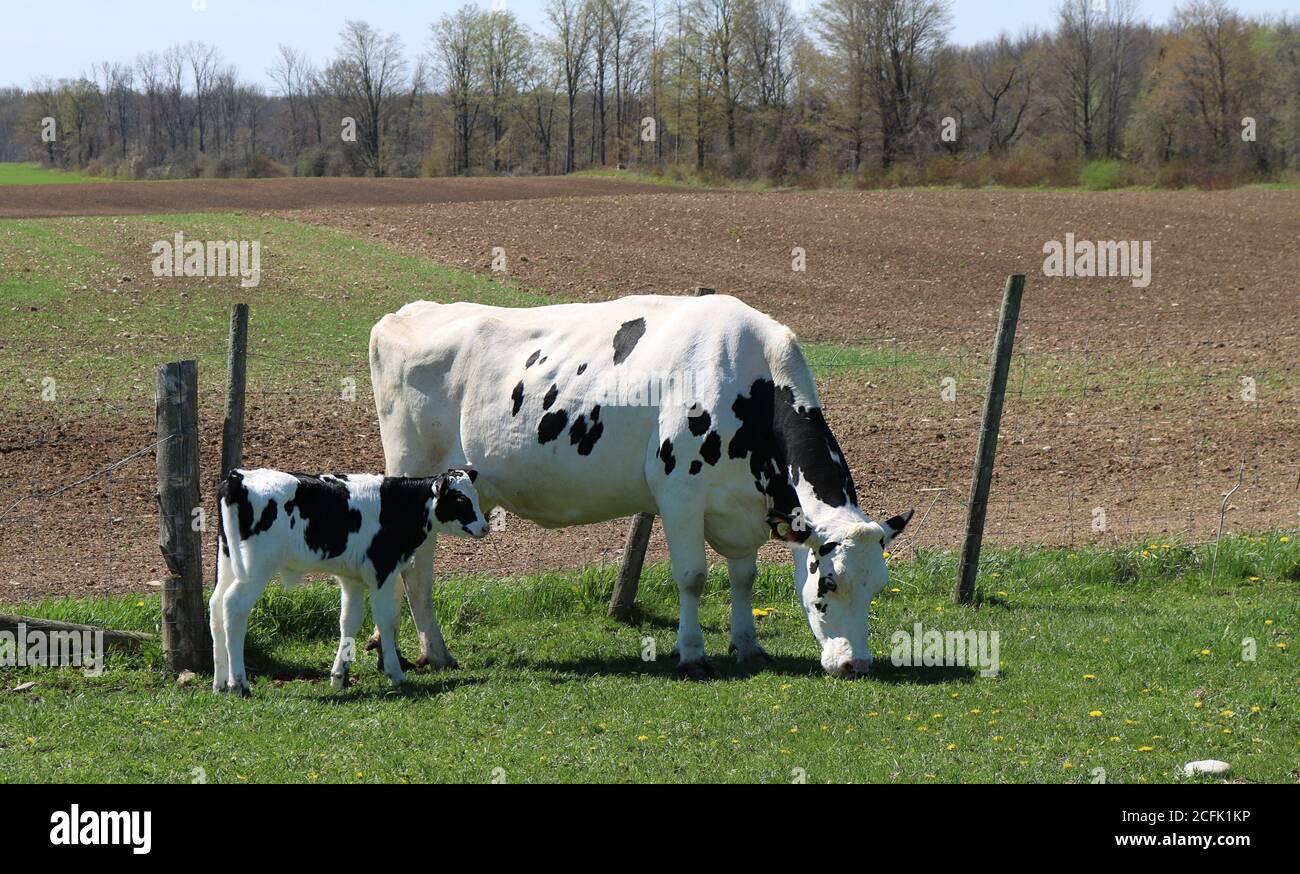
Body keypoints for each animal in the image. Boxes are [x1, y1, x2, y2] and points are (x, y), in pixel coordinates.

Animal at [212, 467, 488, 696]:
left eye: (474, 494)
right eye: (460, 499)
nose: (485, 527)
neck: (396, 503)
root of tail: (239, 477)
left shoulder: (351, 578)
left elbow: (349, 621)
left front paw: (339, 677)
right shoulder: (382, 572)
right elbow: (386, 622)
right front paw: (395, 674)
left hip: (228, 561)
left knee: (216, 607)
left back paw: (220, 683)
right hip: (256, 568)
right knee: (233, 607)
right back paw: (239, 684)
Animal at [369, 294, 912, 679]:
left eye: (877, 588)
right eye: (828, 584)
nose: (857, 664)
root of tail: (408, 312)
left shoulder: (746, 507)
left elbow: (744, 578)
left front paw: (748, 646)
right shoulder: (679, 495)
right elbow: (693, 577)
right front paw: (692, 655)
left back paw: (418, 651)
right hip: (414, 470)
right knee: (415, 568)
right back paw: (431, 653)